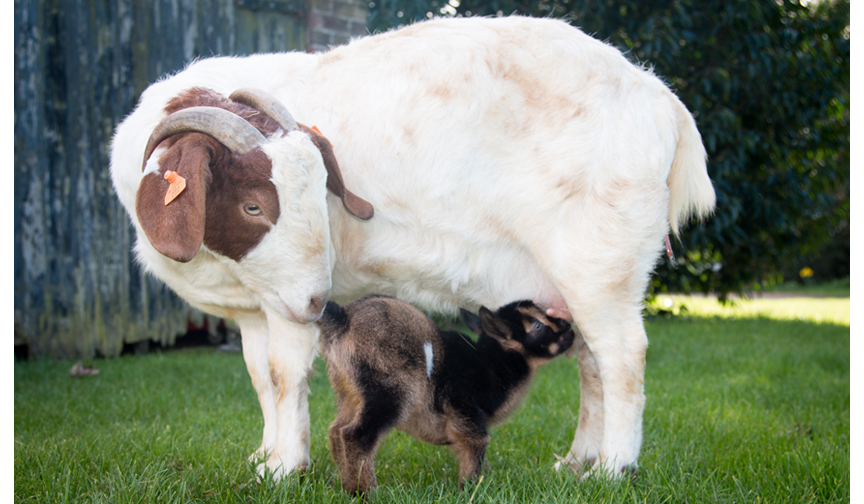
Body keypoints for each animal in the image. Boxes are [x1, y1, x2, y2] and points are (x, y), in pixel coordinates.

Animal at [317, 295, 575, 495]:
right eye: (538, 326)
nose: (570, 329)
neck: (491, 361)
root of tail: (343, 318)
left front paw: (487, 478)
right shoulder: (464, 407)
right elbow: (477, 442)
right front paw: (471, 488)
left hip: (349, 391)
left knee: (336, 430)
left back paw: (342, 484)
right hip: (391, 389)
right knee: (356, 434)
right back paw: (365, 492)